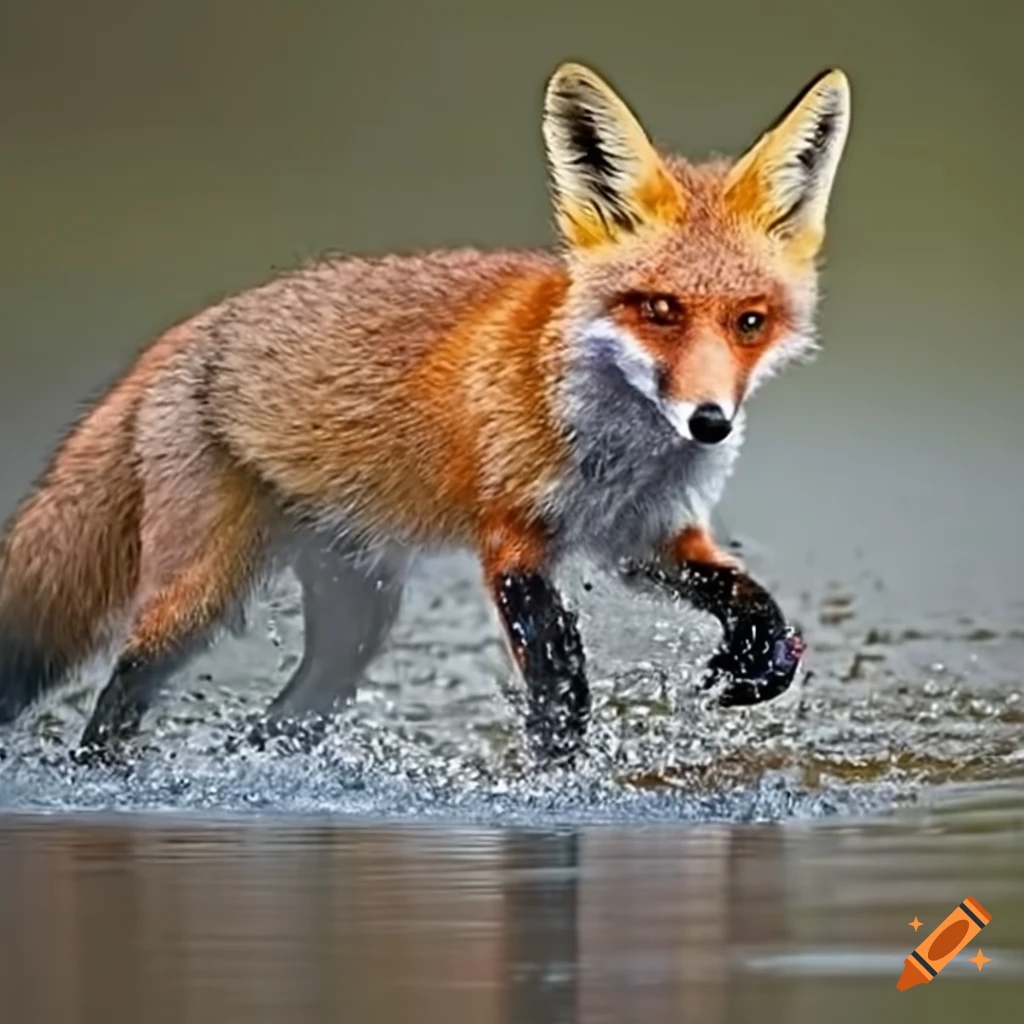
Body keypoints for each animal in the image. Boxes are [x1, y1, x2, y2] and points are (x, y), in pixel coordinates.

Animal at [0, 61, 850, 760]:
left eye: (750, 321)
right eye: (661, 310)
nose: (710, 422)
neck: (617, 455)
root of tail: (194, 326)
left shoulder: (645, 537)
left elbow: (755, 608)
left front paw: (756, 658)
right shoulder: (509, 538)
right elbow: (561, 690)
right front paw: (553, 780)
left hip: (356, 616)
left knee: (278, 722)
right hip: (200, 594)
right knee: (119, 693)